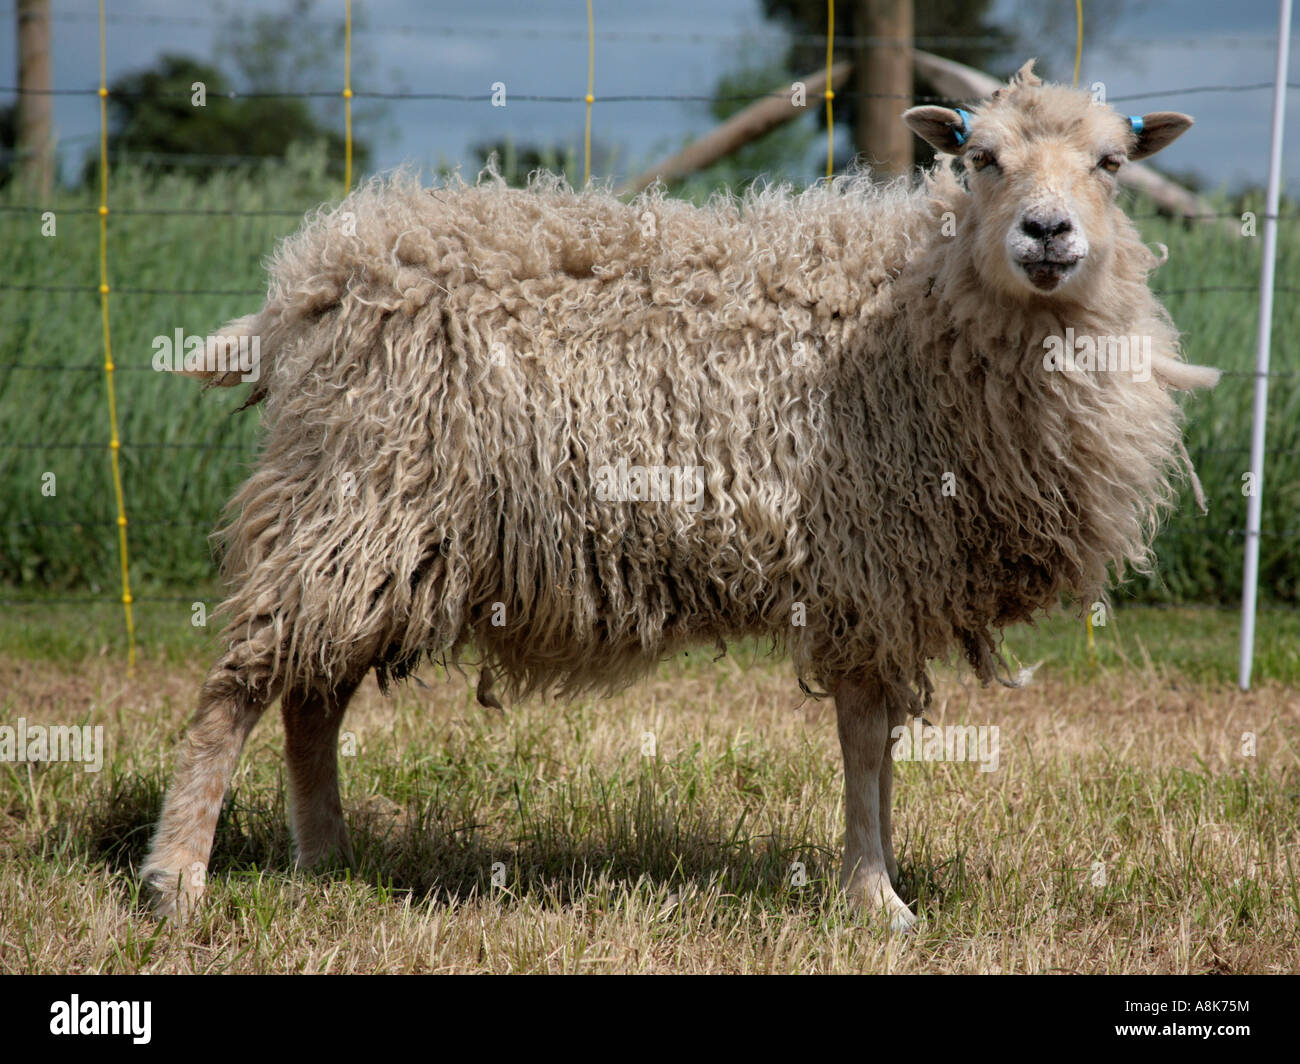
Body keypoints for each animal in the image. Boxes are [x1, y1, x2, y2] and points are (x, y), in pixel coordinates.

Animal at [143, 61, 1217, 929]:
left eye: (1113, 163)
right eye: (983, 158)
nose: (1049, 233)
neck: (923, 306)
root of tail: (308, 279)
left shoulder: (881, 579)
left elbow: (877, 748)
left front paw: (879, 883)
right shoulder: (863, 564)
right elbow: (864, 743)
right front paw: (877, 900)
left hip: (380, 536)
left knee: (311, 693)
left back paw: (326, 861)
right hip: (352, 498)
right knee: (242, 682)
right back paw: (177, 881)